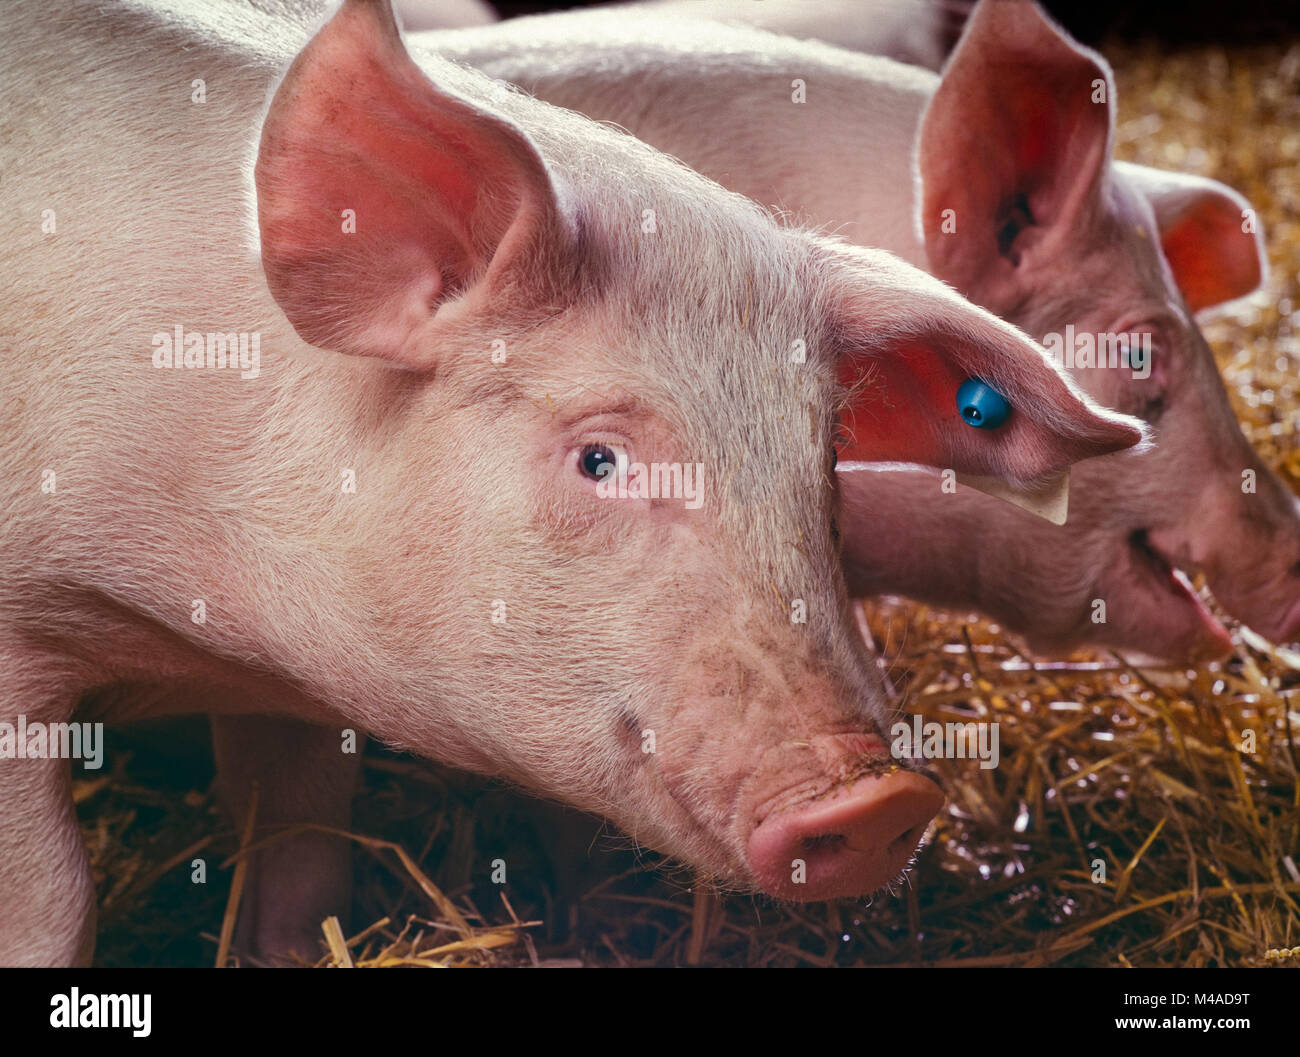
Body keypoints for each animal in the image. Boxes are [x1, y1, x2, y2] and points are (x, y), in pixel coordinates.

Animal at [0, 0, 1142, 966]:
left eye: (820, 459)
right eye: (600, 458)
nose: (879, 801)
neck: (194, 625)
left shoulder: (285, 690)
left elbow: (301, 846)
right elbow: (57, 900)